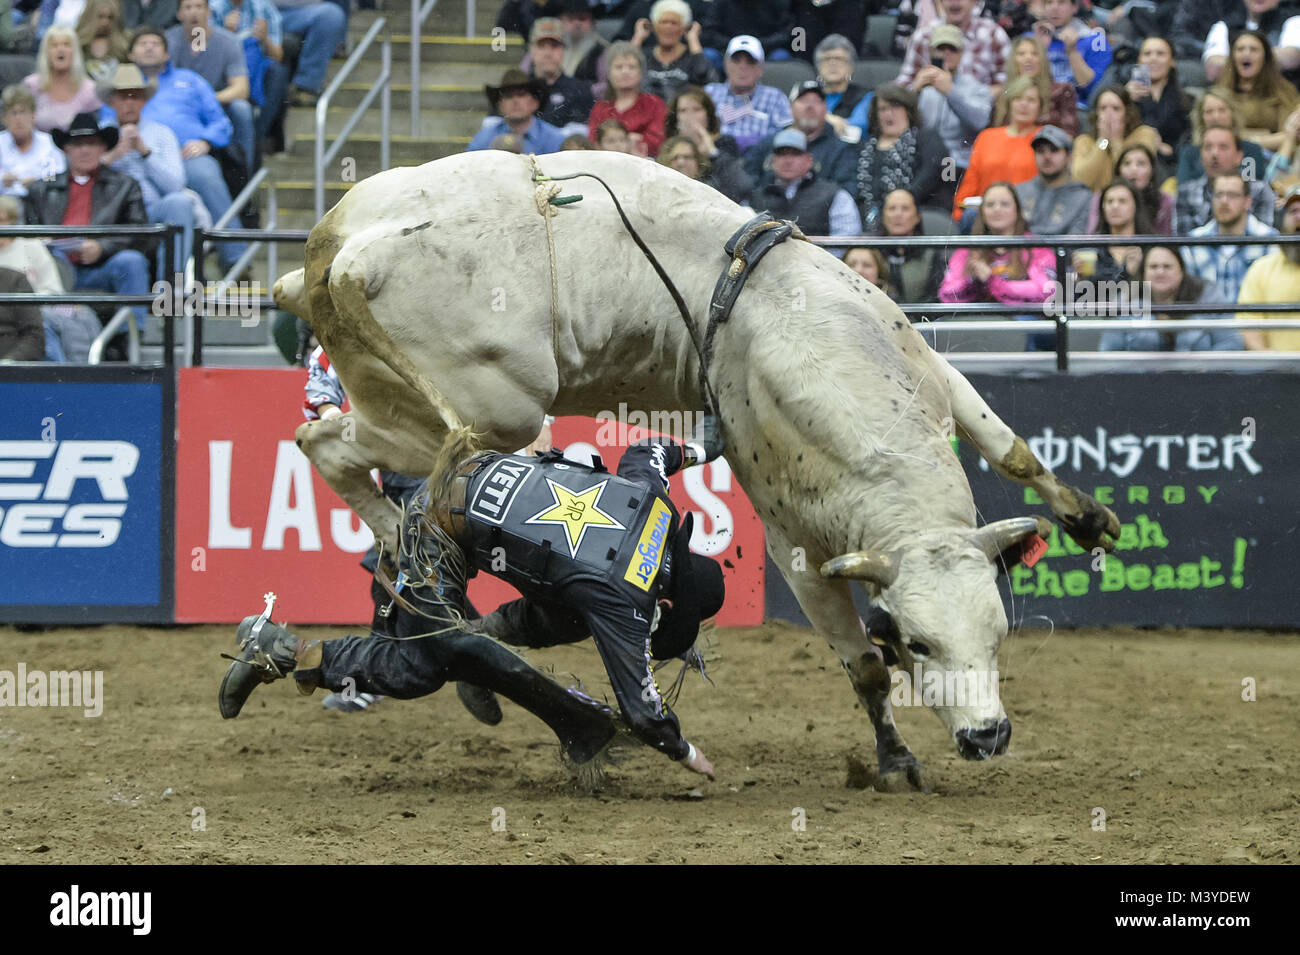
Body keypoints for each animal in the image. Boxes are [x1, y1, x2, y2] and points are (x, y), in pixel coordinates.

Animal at [273, 150, 1120, 792]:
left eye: (999, 632)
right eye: (916, 641)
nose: (986, 735)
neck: (808, 334)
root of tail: (347, 251)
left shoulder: (938, 375)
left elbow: (1014, 450)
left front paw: (1092, 520)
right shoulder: (797, 547)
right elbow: (864, 669)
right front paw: (895, 759)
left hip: (405, 399)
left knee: (326, 440)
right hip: (486, 414)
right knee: (330, 447)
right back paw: (419, 581)